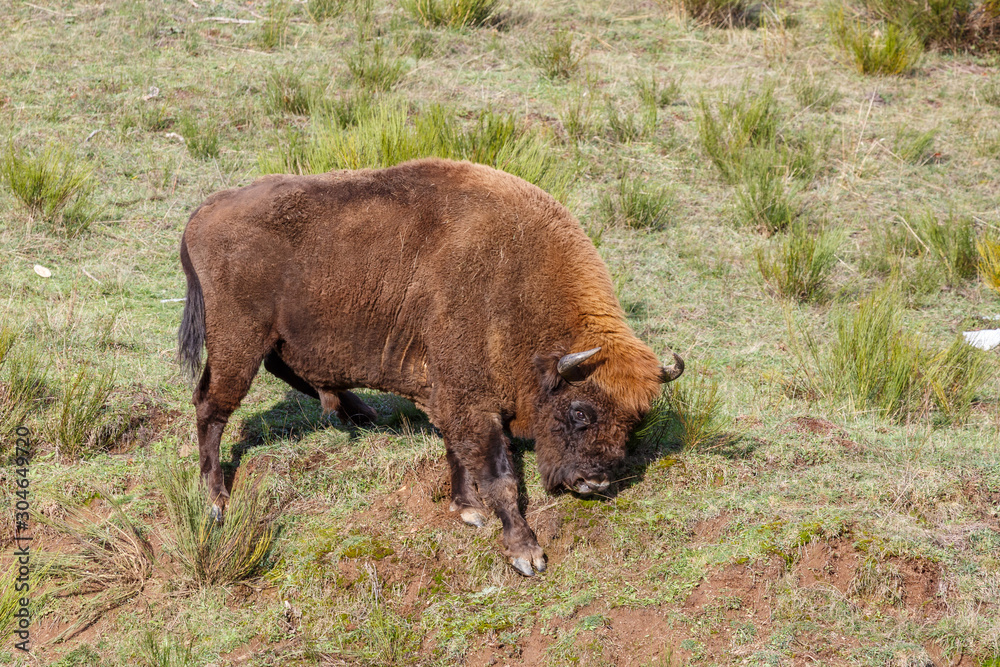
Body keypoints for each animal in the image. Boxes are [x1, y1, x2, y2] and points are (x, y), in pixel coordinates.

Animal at [178, 158, 683, 576]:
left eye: (635, 420)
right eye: (580, 411)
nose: (594, 483)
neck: (515, 281)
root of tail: (205, 211)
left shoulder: (451, 394)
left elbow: (458, 452)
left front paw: (466, 509)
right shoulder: (468, 400)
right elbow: (498, 476)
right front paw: (525, 553)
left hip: (276, 340)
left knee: (283, 374)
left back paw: (359, 412)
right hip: (238, 341)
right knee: (210, 406)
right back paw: (217, 501)